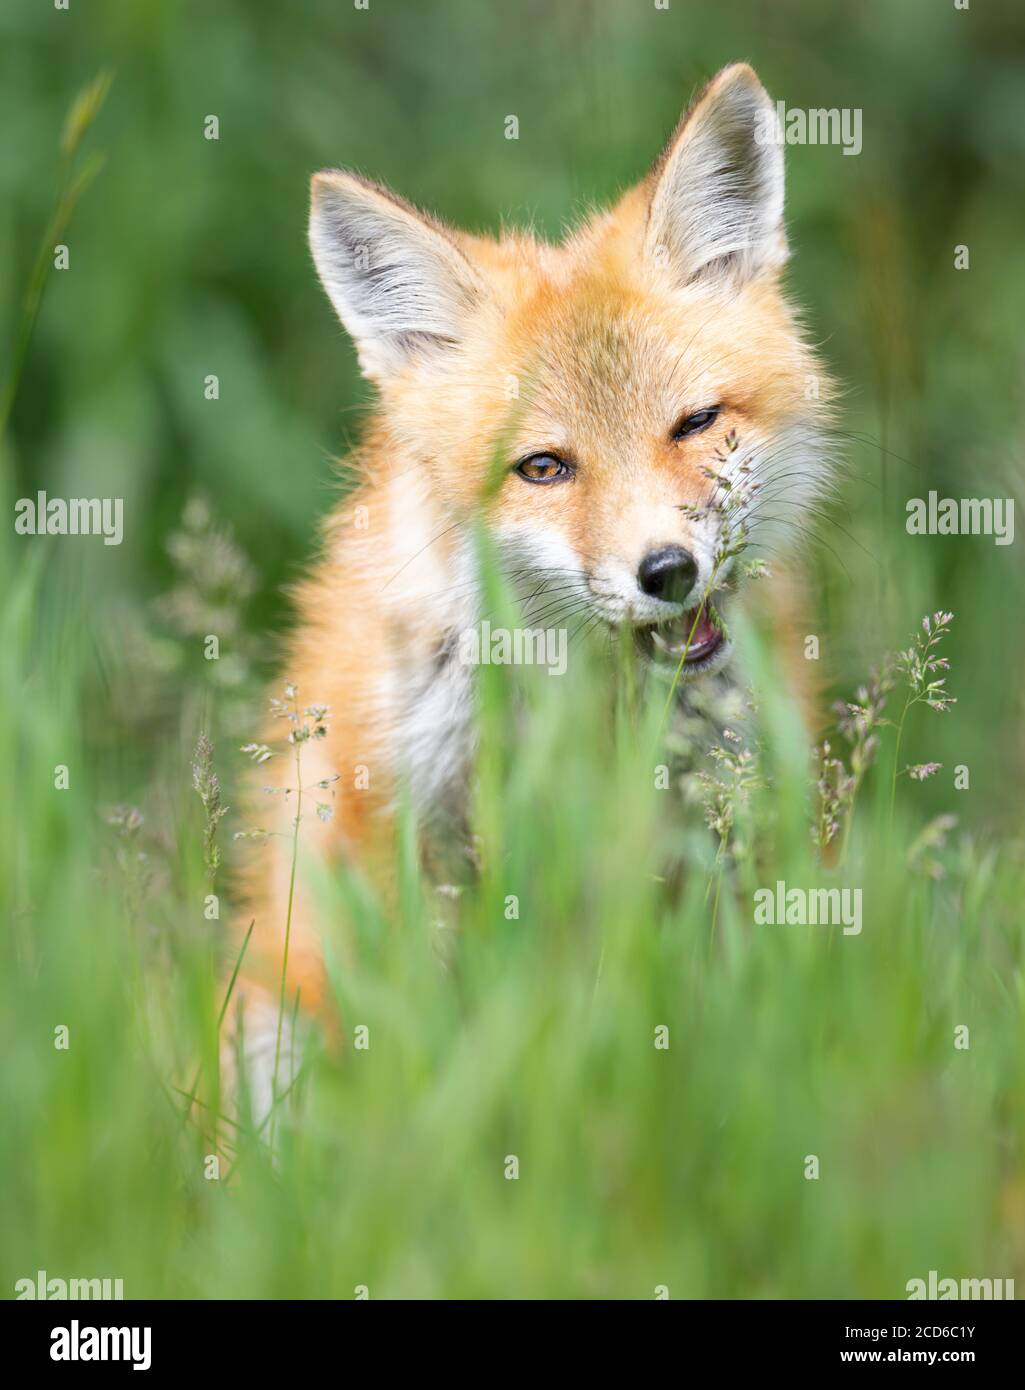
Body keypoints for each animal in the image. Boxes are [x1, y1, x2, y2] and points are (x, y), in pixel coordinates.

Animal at [227, 63, 833, 1116]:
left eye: (696, 423)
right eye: (544, 469)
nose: (668, 572)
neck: (587, 713)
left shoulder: (721, 834)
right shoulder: (397, 836)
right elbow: (414, 1041)